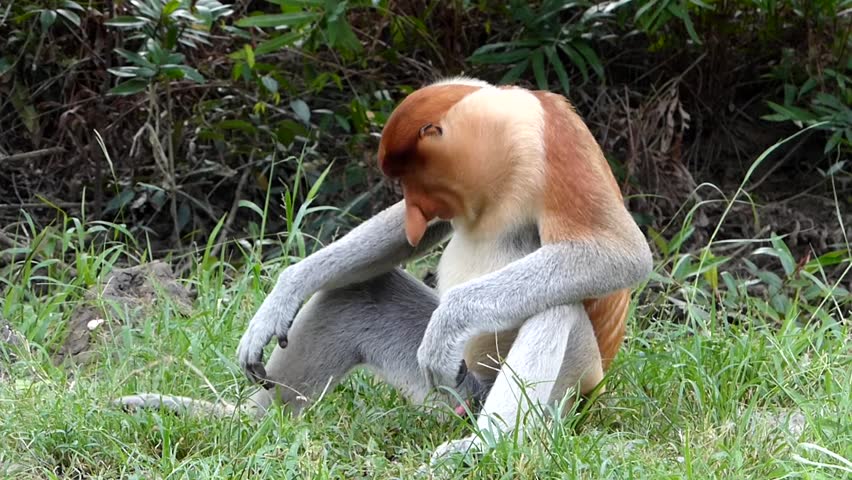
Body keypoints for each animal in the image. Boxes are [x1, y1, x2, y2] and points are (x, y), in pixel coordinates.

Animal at [116, 76, 652, 466]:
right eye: (406, 189)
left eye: (416, 180)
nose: (414, 213)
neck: (508, 141)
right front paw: (282, 296)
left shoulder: (557, 146)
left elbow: (622, 253)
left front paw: (450, 321)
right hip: (451, 392)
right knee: (355, 296)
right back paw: (238, 420)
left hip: (568, 391)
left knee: (558, 309)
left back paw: (484, 446)